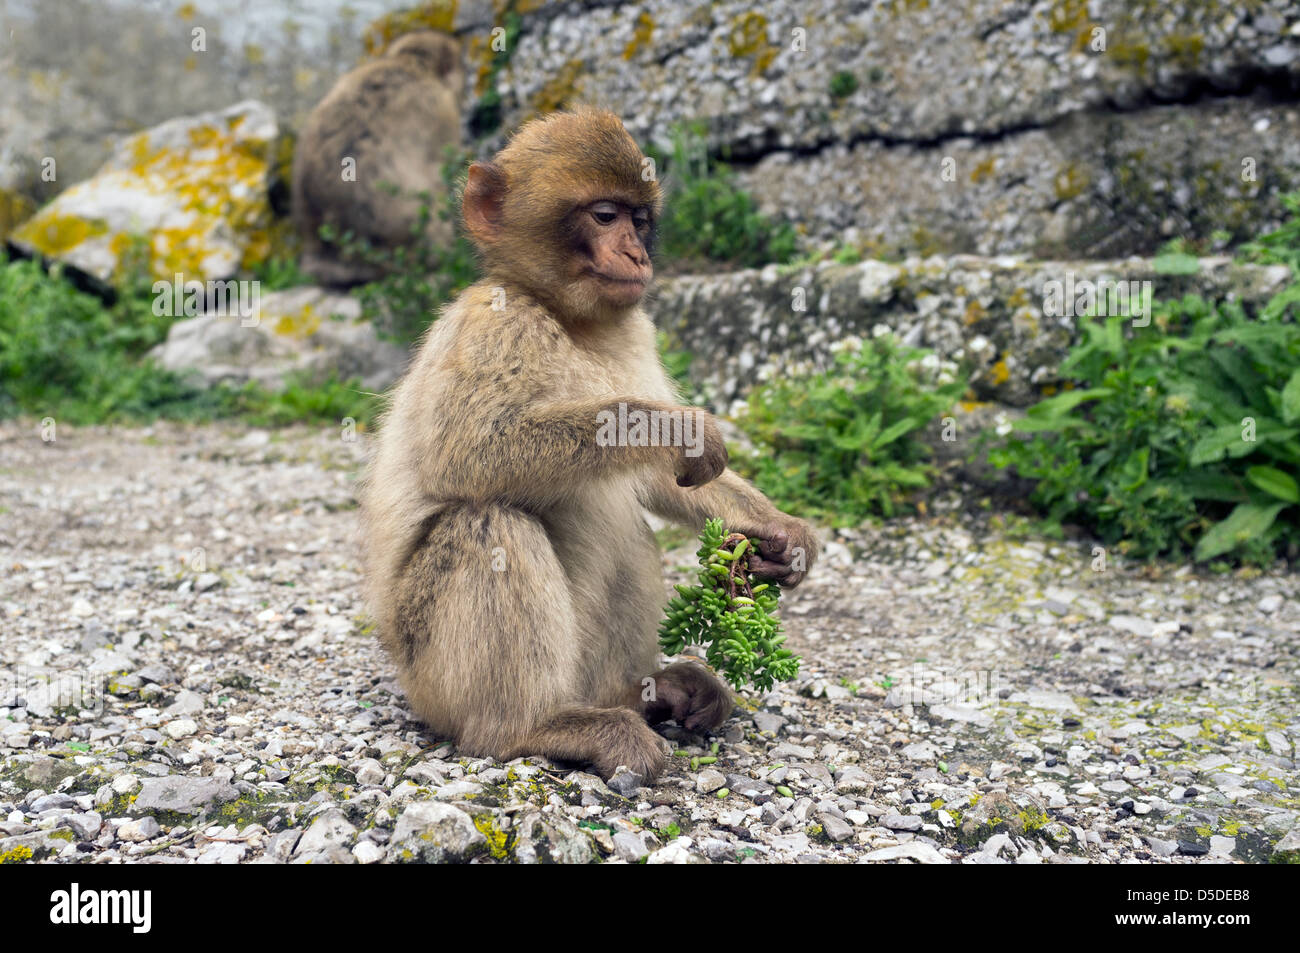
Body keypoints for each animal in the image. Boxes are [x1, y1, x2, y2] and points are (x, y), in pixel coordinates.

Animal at [358, 108, 818, 781]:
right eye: (604, 216)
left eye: (640, 220)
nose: (635, 252)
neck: (571, 321)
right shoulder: (494, 323)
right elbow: (467, 453)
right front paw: (677, 428)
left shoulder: (634, 328)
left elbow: (657, 481)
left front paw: (779, 536)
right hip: (429, 672)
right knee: (488, 521)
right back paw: (531, 726)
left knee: (626, 532)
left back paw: (643, 693)